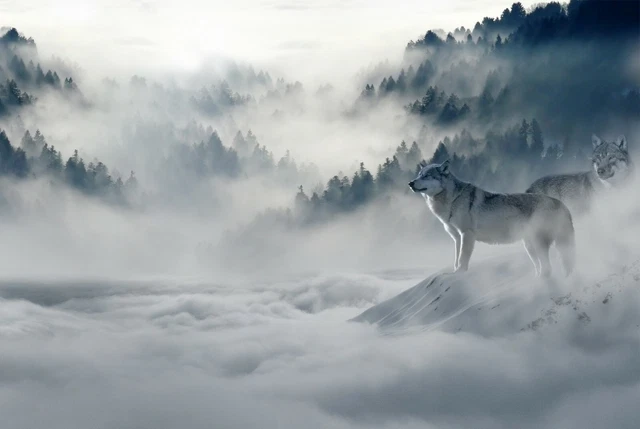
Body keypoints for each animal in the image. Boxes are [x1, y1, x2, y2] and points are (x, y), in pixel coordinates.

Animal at [409, 160, 576, 277]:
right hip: (529, 247)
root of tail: (561, 204)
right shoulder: (456, 238)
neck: (452, 200)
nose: (410, 183)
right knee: (543, 267)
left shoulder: (466, 234)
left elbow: (462, 259)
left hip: (538, 244)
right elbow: (456, 260)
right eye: (419, 175)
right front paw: (453, 272)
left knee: (548, 268)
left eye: (427, 176)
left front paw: (459, 274)